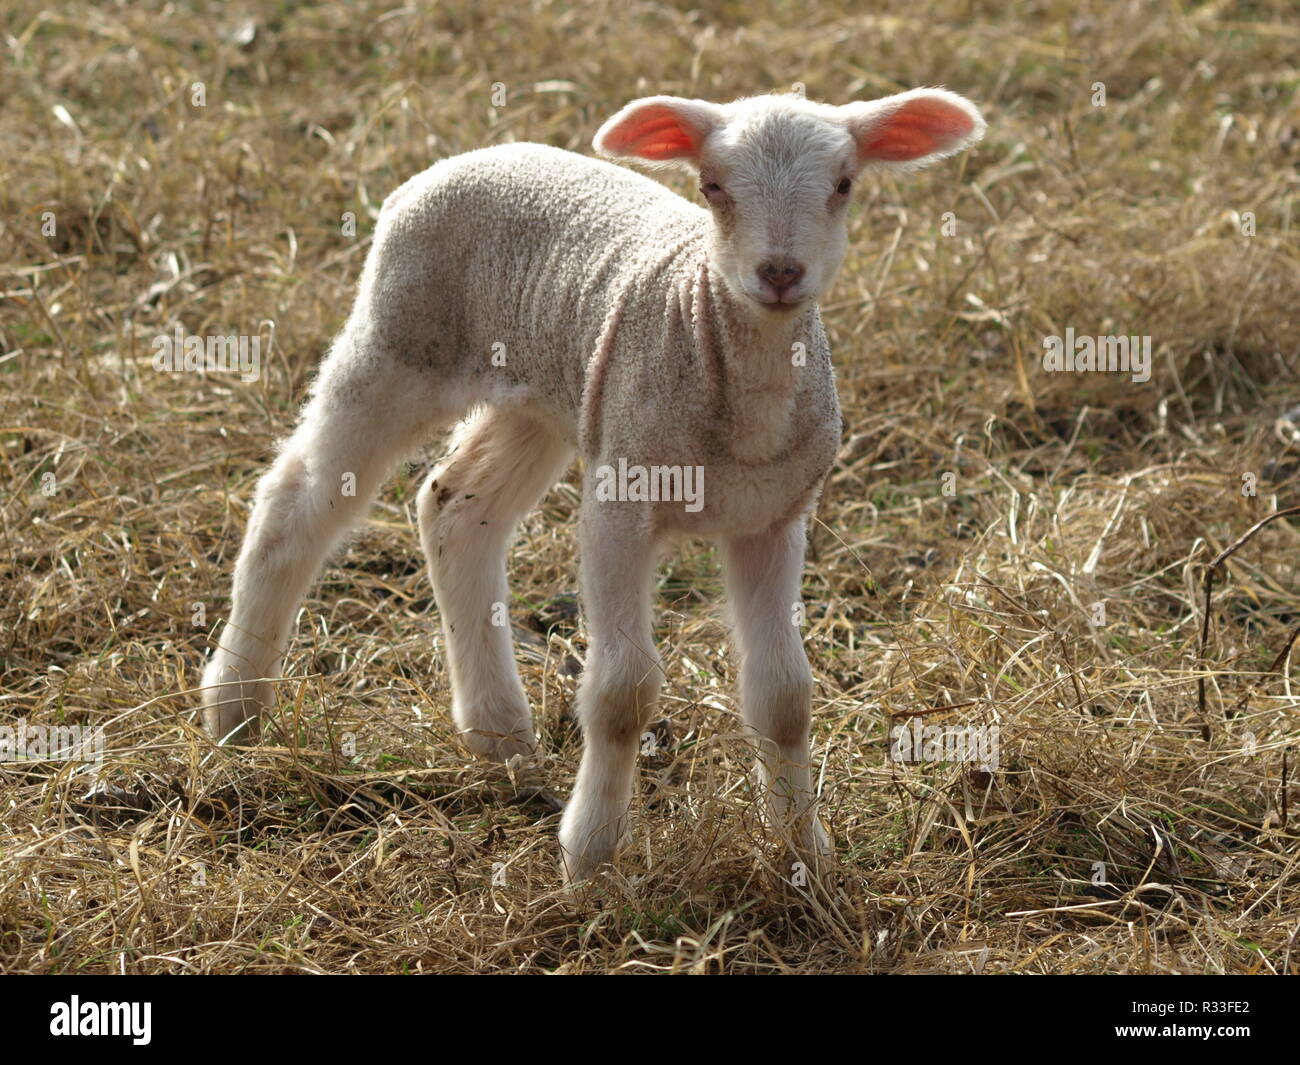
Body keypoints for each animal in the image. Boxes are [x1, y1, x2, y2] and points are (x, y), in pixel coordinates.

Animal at [200, 88, 987, 881]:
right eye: (713, 186)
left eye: (844, 184)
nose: (779, 272)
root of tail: (461, 159)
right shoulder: (621, 501)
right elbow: (621, 694)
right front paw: (589, 857)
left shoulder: (773, 518)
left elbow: (784, 696)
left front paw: (805, 853)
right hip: (396, 343)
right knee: (294, 501)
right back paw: (235, 710)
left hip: (541, 400)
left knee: (455, 507)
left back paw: (499, 737)